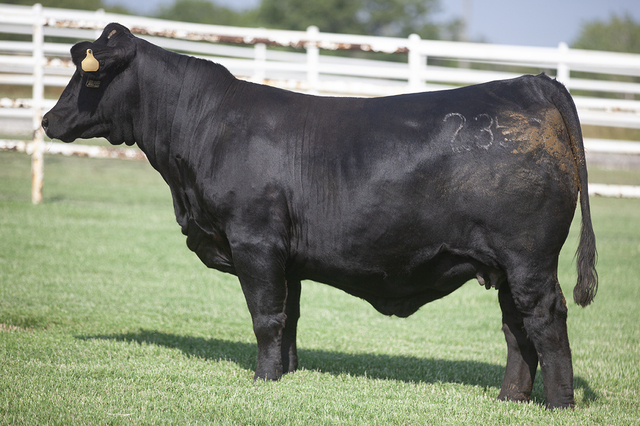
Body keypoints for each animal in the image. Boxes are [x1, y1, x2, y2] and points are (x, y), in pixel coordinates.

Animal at [42, 23, 597, 409]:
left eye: (88, 76)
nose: (48, 119)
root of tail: (532, 83)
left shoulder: (254, 241)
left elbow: (265, 317)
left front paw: (263, 378)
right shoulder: (285, 258)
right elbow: (288, 317)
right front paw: (286, 374)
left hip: (528, 258)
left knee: (545, 319)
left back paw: (558, 404)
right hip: (504, 264)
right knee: (516, 328)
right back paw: (510, 398)